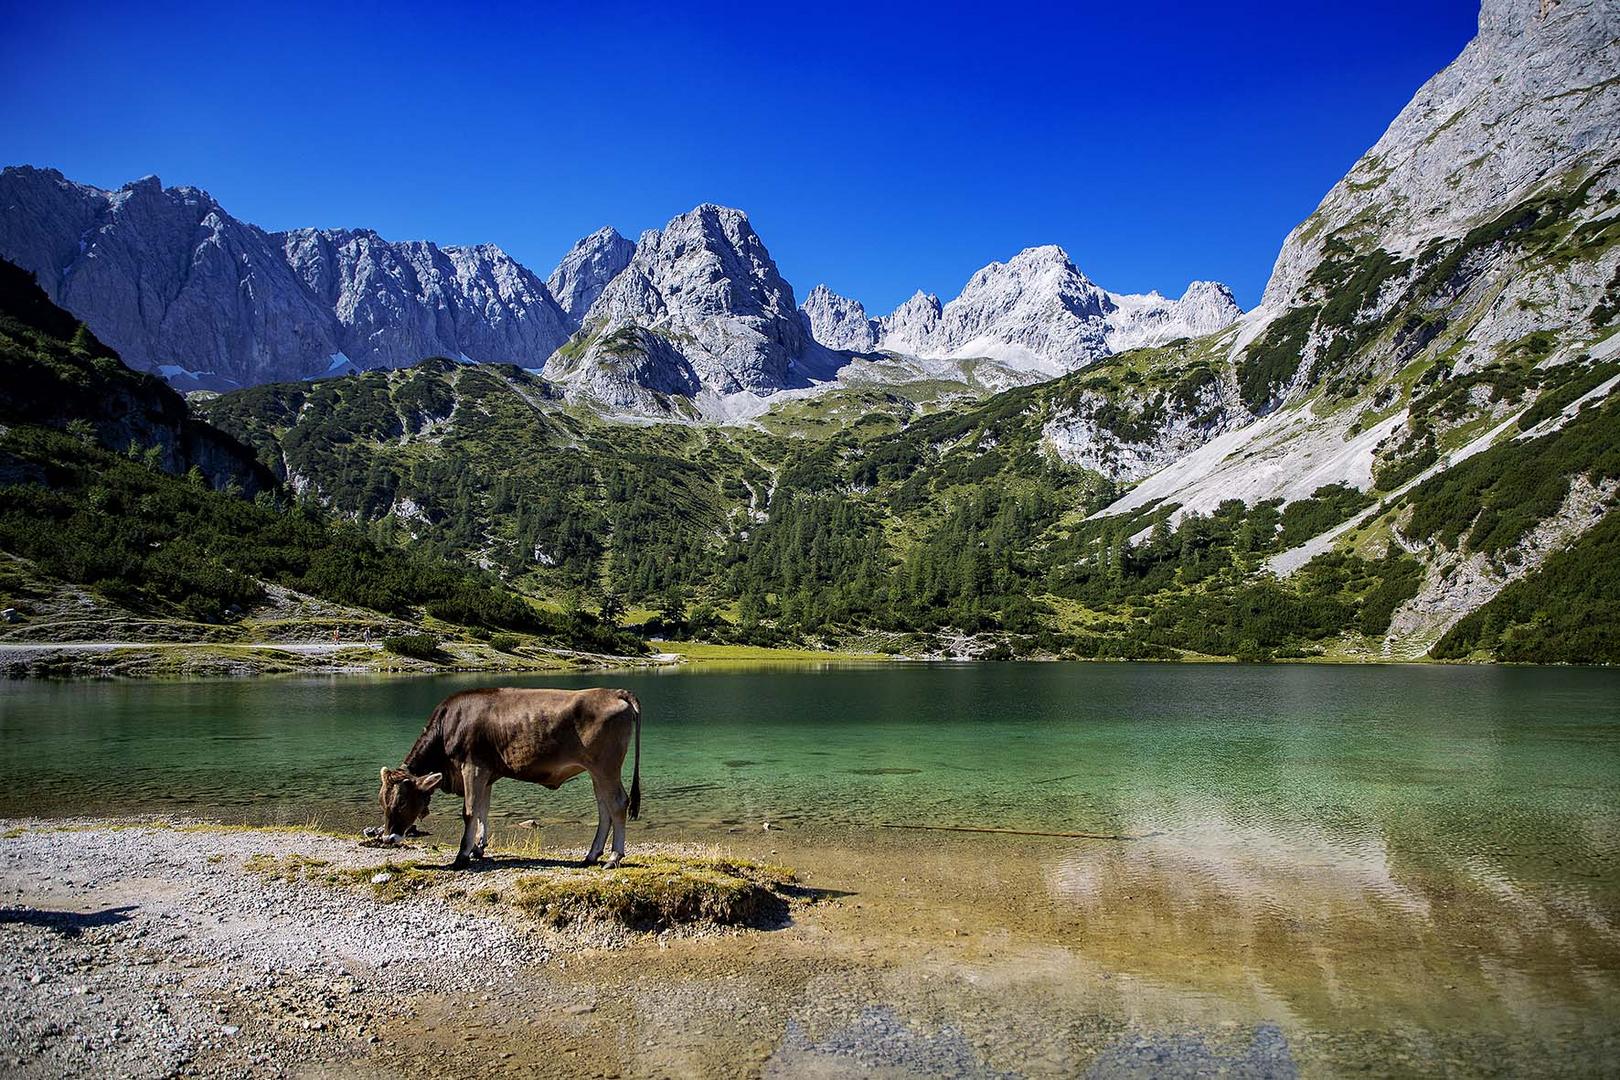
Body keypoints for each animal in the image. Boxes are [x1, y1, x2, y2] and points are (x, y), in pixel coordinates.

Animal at [370, 693, 638, 867]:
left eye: (402, 802)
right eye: (382, 803)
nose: (387, 838)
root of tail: (614, 692)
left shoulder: (473, 767)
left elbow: (469, 811)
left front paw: (462, 855)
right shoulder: (486, 773)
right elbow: (482, 810)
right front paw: (478, 848)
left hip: (606, 767)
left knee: (617, 803)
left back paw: (614, 857)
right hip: (596, 771)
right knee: (604, 808)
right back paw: (592, 855)